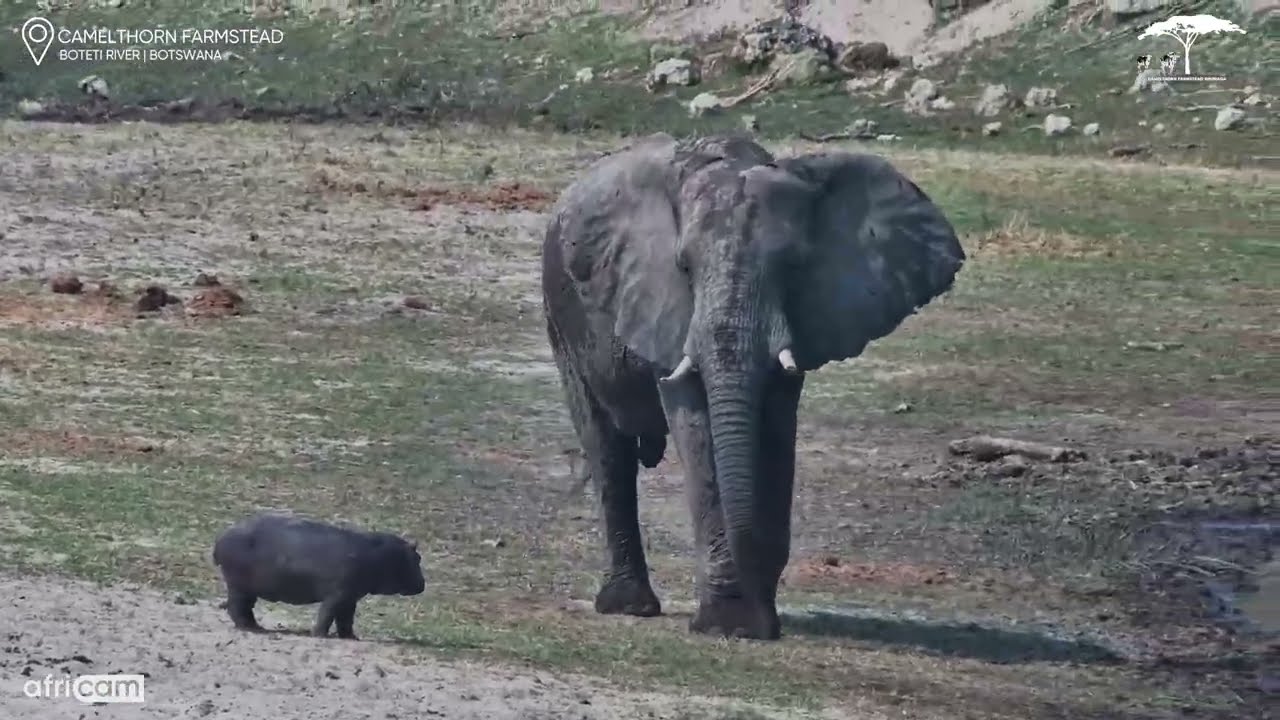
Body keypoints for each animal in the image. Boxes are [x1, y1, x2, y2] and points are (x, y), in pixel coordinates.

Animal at [539, 133, 965, 640]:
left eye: (795, 265)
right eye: (683, 266)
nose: (760, 615)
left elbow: (778, 431)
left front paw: (754, 621)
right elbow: (696, 427)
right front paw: (727, 624)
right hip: (560, 309)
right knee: (606, 448)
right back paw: (628, 606)